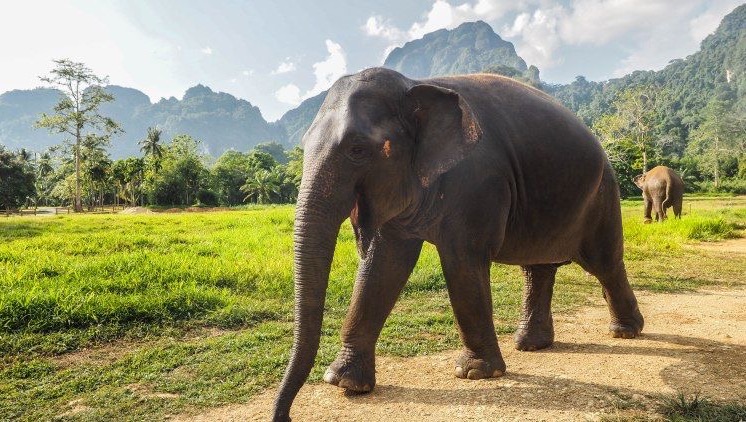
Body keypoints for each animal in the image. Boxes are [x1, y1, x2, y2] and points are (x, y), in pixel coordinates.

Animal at [272, 68, 644, 421]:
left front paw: (475, 373)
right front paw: (344, 382)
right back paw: (530, 345)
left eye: (357, 150)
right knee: (538, 267)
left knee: (604, 263)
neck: (413, 84)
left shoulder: (478, 183)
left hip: (603, 194)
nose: (285, 416)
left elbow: (462, 260)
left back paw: (625, 332)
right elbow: (383, 264)